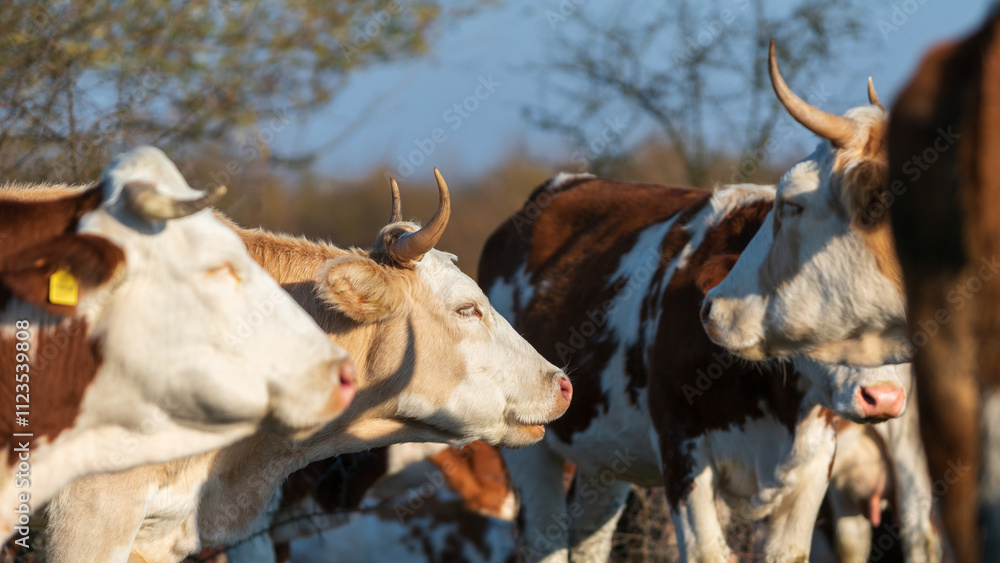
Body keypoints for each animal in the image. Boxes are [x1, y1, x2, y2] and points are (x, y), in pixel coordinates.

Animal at [478, 174, 910, 562]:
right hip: (528, 447)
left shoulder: (815, 461)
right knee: (543, 539)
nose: (884, 398)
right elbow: (707, 552)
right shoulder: (681, 446)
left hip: (603, 457)